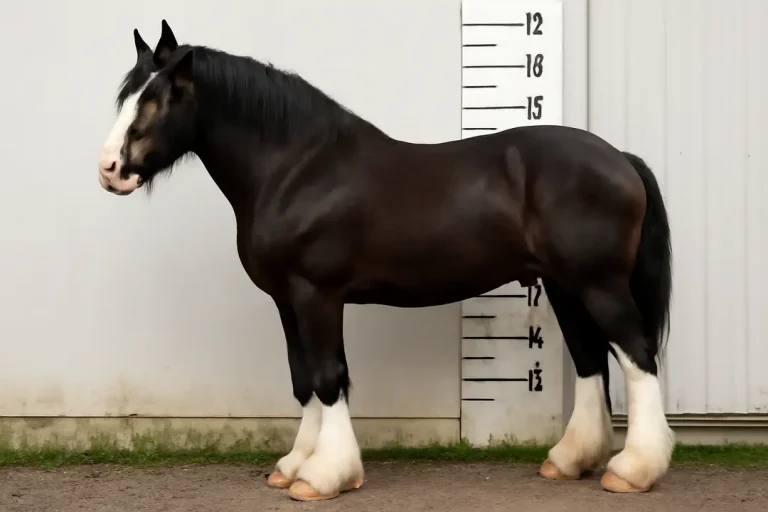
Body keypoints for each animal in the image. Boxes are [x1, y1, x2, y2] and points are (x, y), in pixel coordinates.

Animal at [97, 20, 674, 501]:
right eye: (127, 95)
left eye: (160, 101)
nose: (110, 170)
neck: (299, 169)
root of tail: (621, 159)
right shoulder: (287, 300)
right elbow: (302, 378)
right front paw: (296, 463)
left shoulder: (317, 294)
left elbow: (329, 376)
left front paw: (325, 475)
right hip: (564, 285)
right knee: (590, 359)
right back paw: (571, 459)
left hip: (598, 284)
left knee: (637, 354)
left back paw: (634, 469)